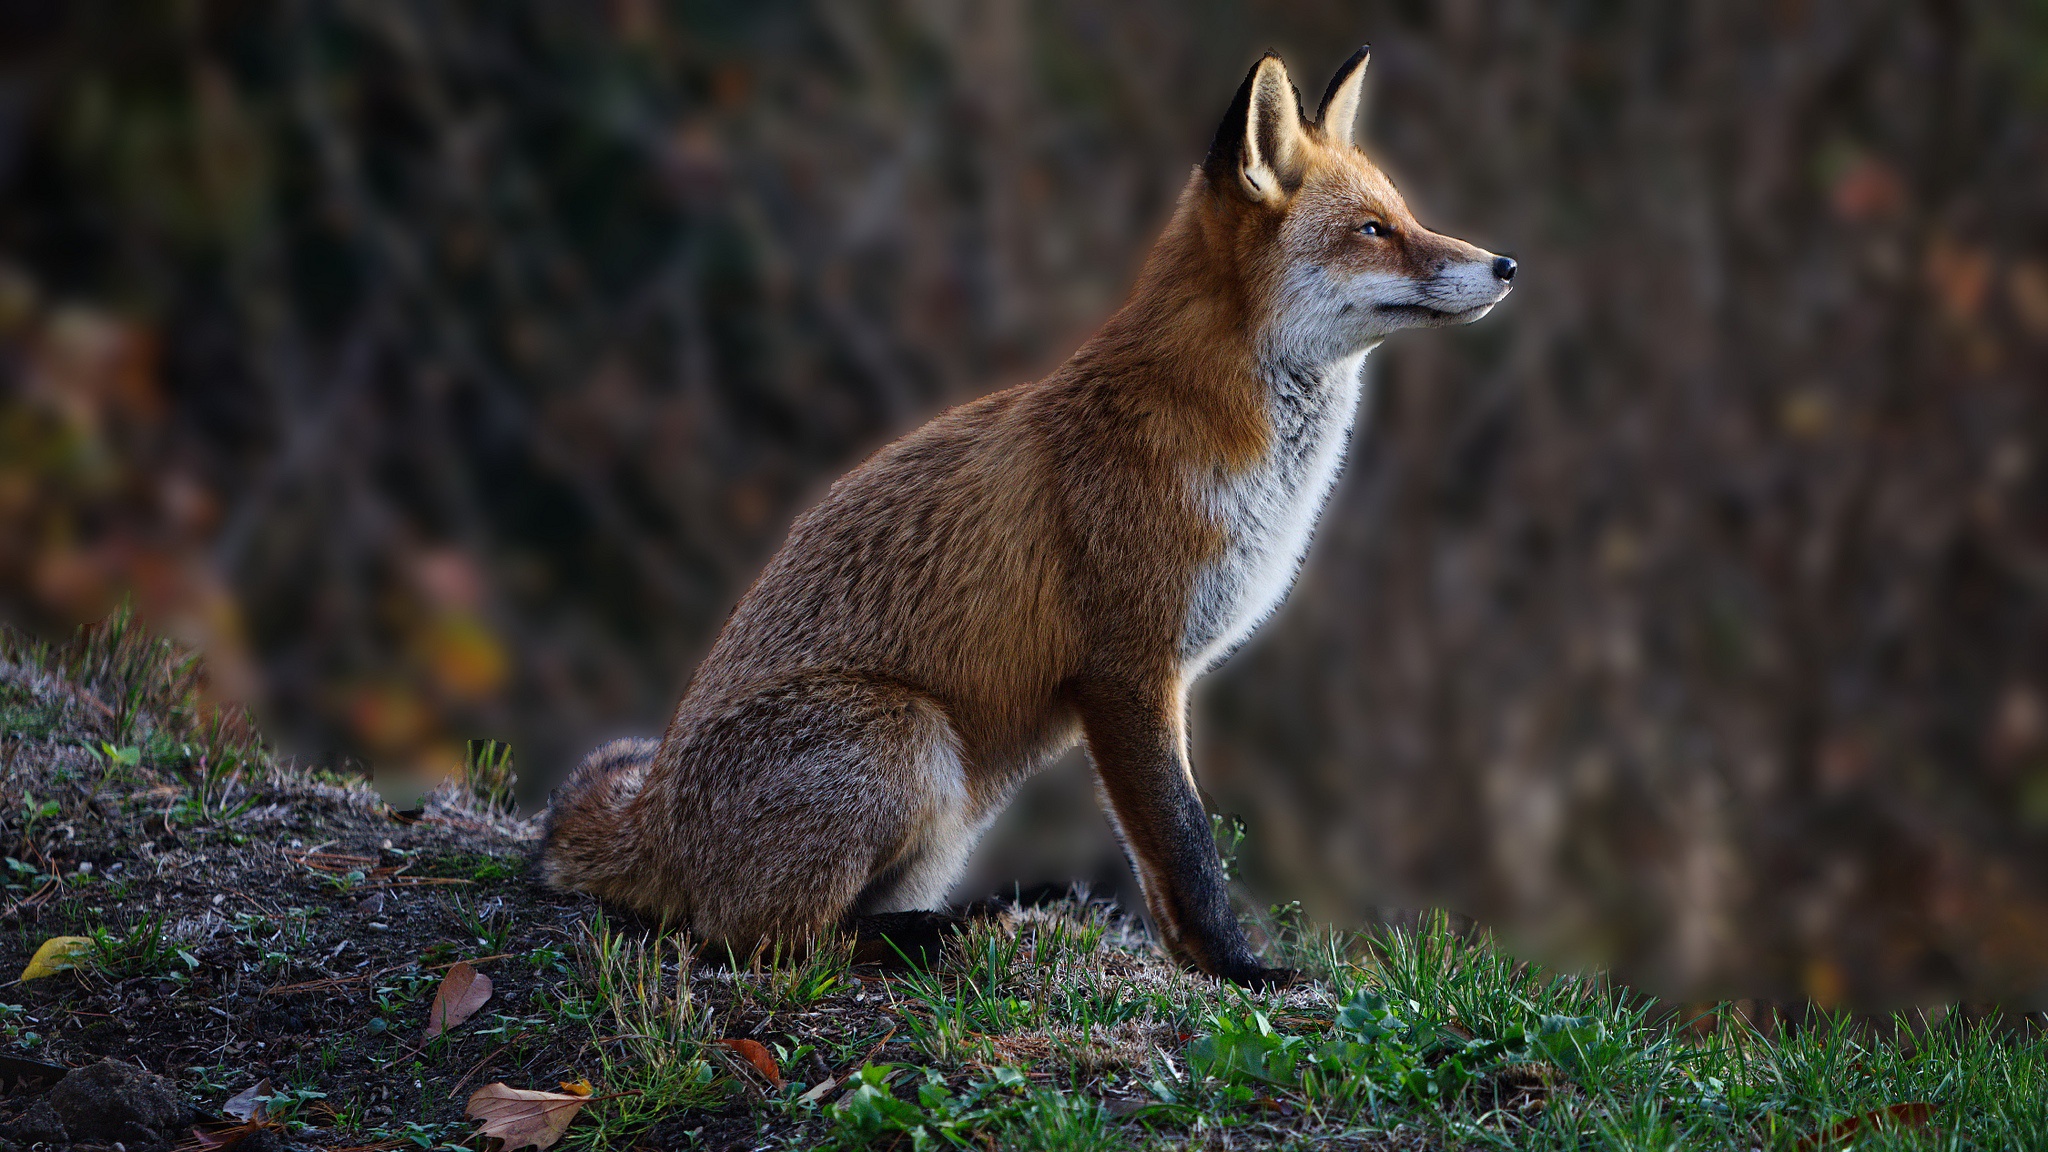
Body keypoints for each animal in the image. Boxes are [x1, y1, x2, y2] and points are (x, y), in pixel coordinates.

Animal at [540, 47, 1515, 985]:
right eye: (1374, 231)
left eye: (1405, 215)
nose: (1507, 265)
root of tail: (651, 815)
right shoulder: (1128, 668)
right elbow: (1191, 848)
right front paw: (1246, 973)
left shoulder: (1143, 683)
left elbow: (1158, 871)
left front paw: (1196, 965)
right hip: (909, 742)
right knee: (756, 942)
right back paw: (924, 937)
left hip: (952, 810)